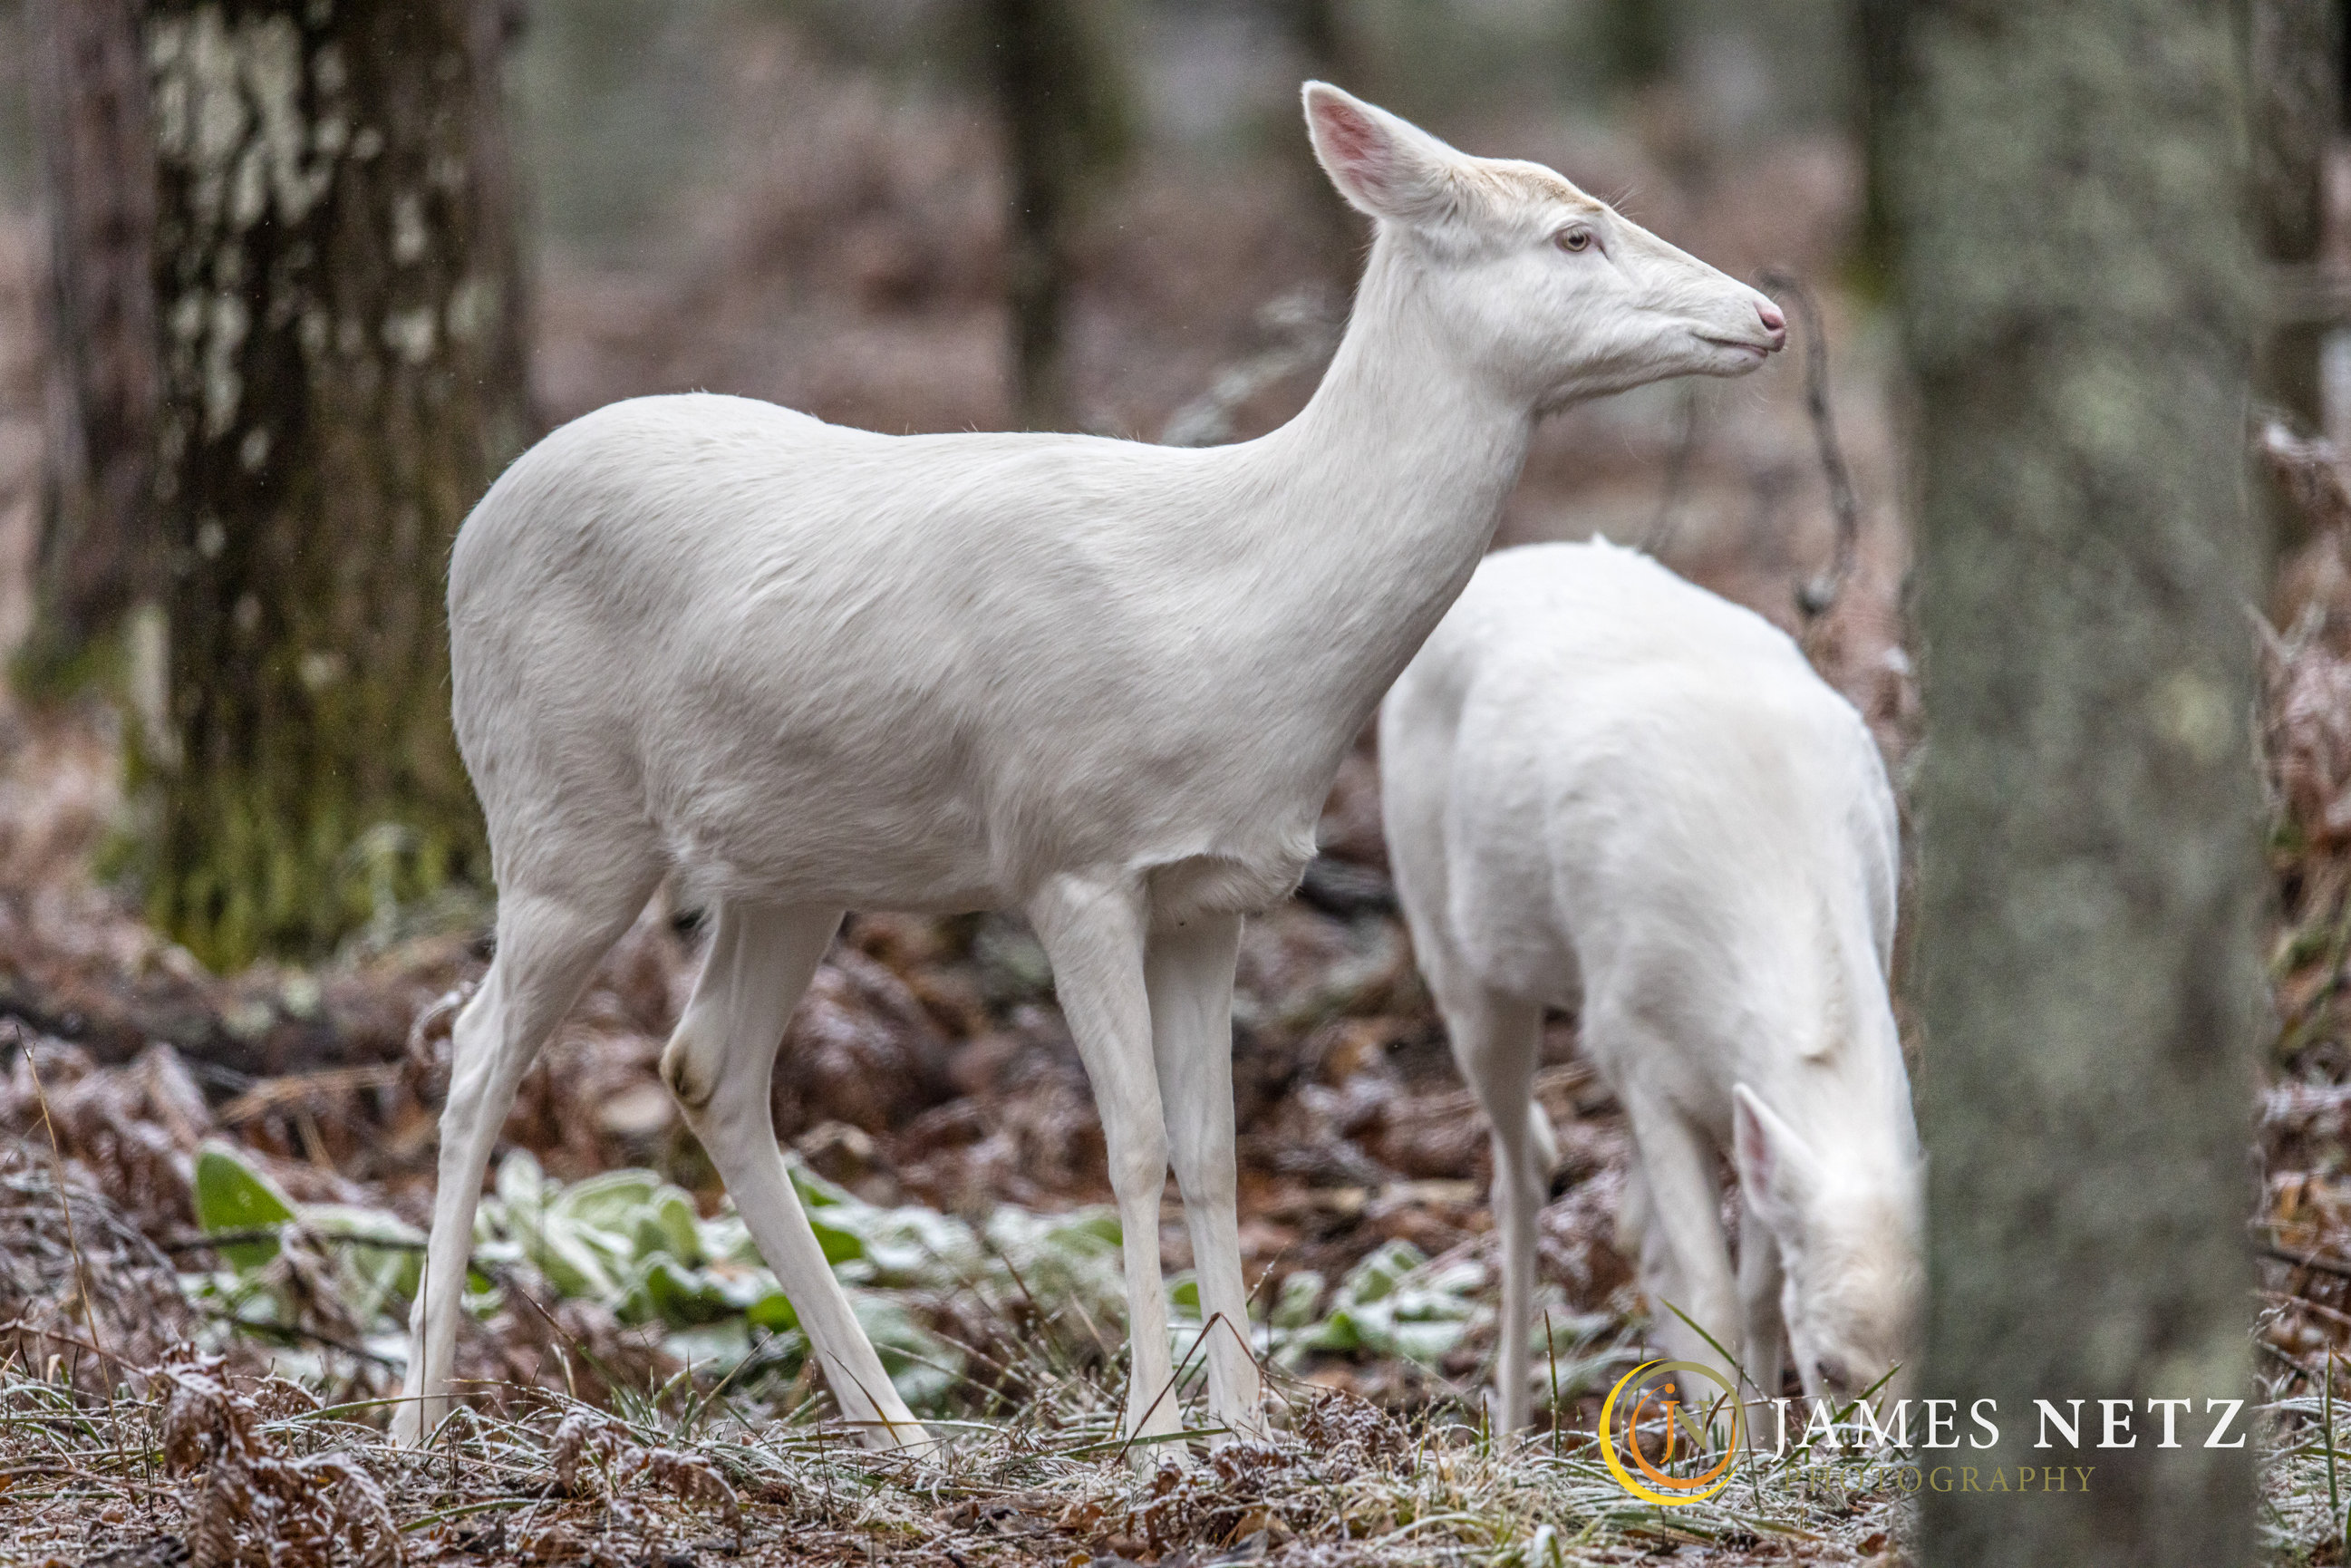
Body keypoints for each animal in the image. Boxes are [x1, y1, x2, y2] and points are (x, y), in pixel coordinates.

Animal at [393, 85, 1784, 1451]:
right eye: (1572, 235)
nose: (1766, 315)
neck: (1241, 607)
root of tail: (466, 530)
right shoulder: (1073, 856)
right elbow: (1130, 1143)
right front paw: (1150, 1433)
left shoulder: (1215, 886)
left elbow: (1214, 1148)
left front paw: (1250, 1429)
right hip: (559, 809)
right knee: (475, 1051)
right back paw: (420, 1419)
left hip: (788, 860)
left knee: (707, 1067)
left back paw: (898, 1432)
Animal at [1380, 539, 1922, 1433]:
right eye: (1827, 1366)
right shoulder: (1642, 1055)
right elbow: (1715, 1294)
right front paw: (1740, 1448)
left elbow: (1758, 1286)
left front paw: (1760, 1437)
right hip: (1450, 940)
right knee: (1522, 1172)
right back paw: (1513, 1426)